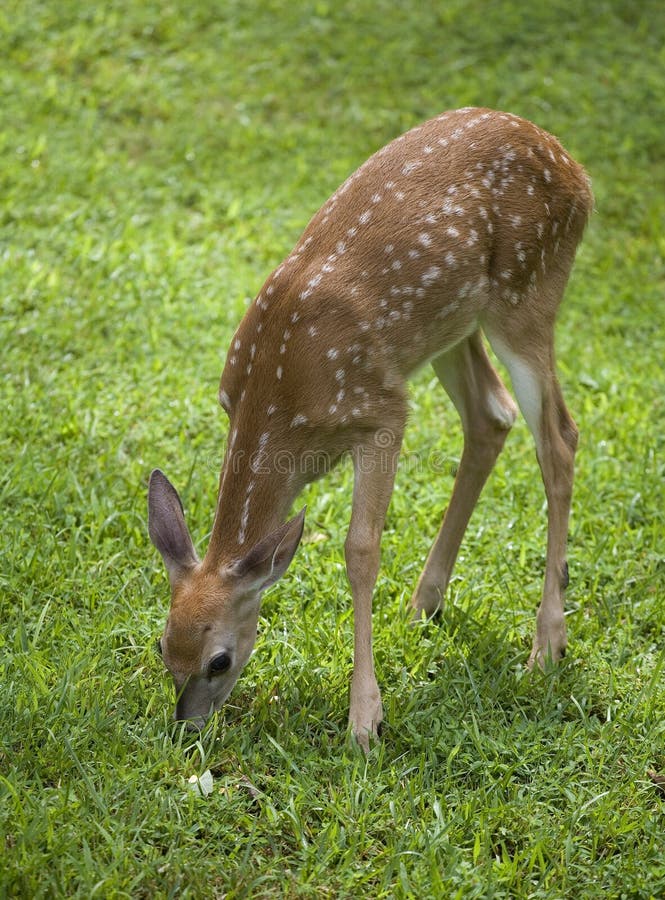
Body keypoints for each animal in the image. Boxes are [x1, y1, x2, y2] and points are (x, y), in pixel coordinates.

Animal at [148, 107, 593, 751]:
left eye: (219, 661)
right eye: (164, 647)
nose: (187, 728)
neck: (282, 411)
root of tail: (578, 173)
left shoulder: (381, 412)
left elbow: (360, 549)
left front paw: (365, 720)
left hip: (527, 294)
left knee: (558, 437)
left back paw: (546, 645)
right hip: (450, 327)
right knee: (491, 414)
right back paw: (426, 602)